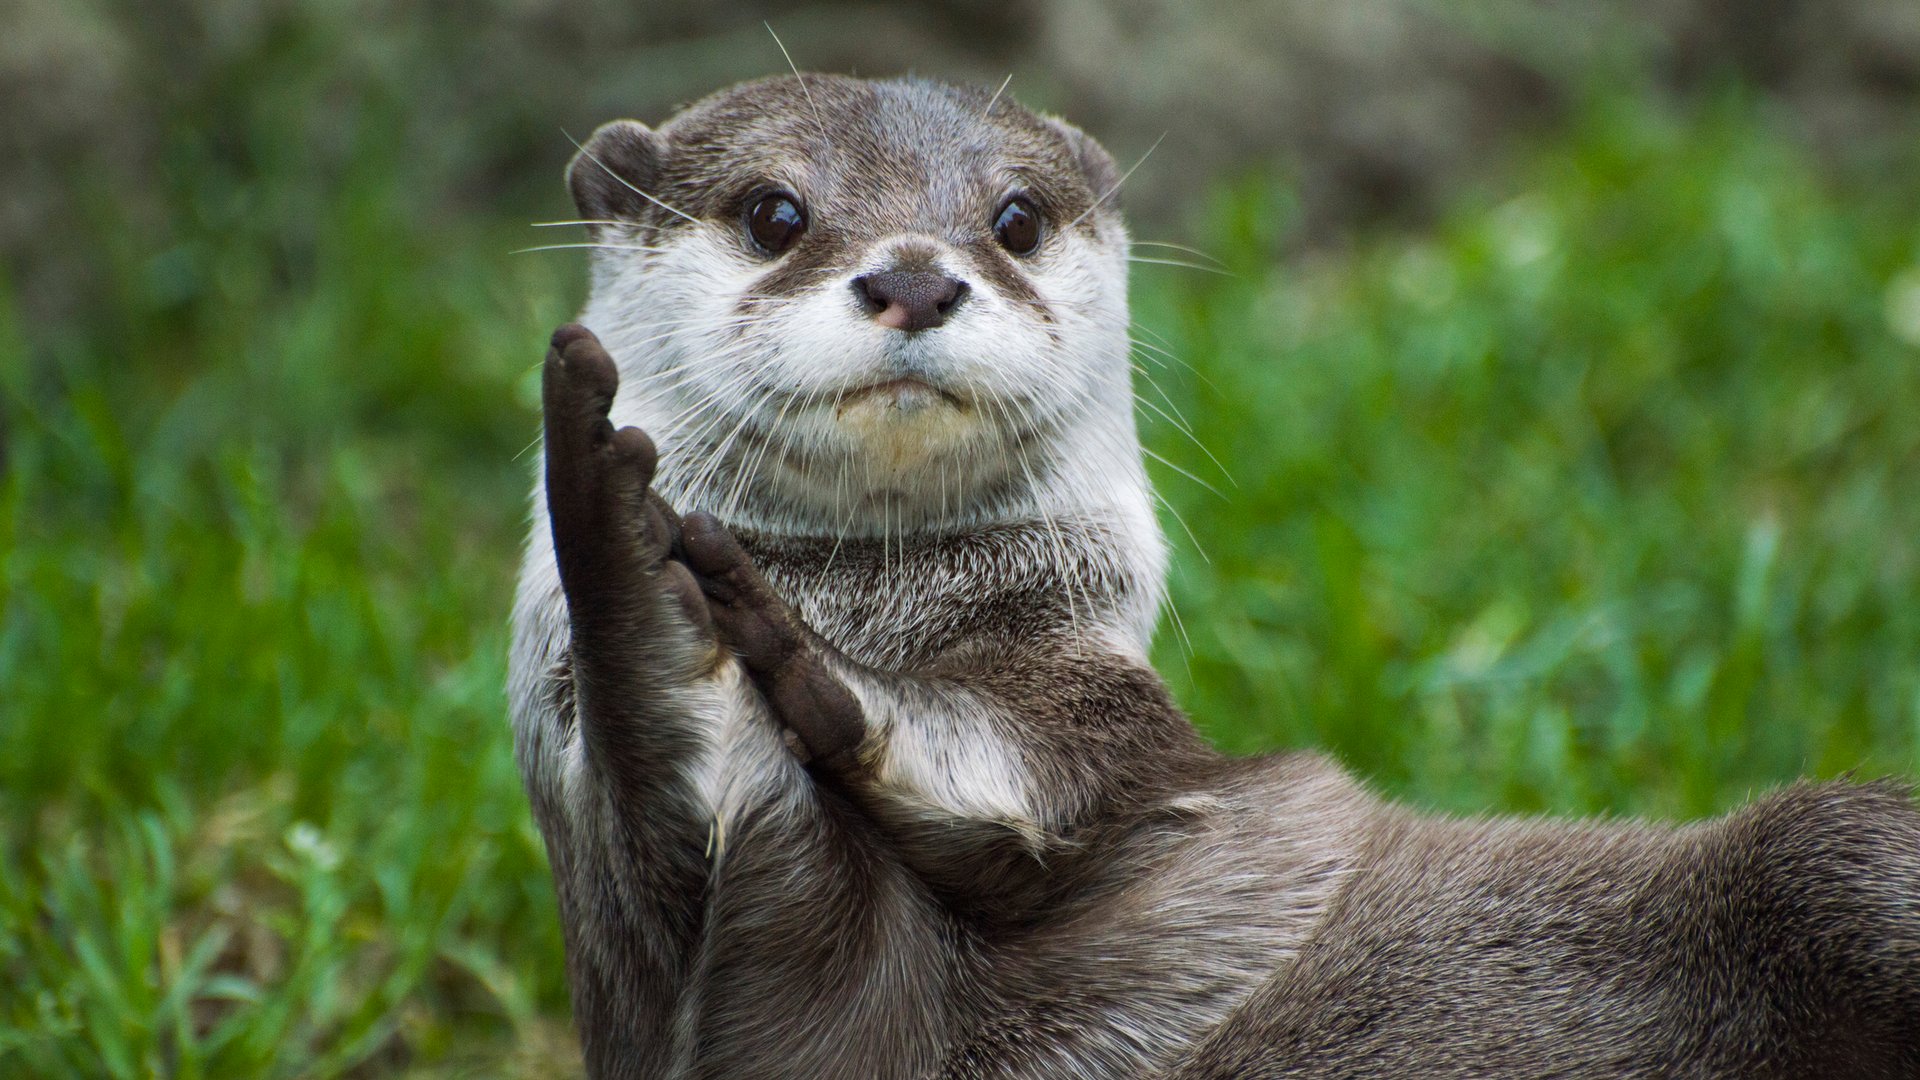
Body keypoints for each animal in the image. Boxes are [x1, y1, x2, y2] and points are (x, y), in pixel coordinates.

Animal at [507, 75, 1920, 1079]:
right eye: (774, 212)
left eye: (1014, 218)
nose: (913, 272)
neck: (891, 608)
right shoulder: (671, 924)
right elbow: (700, 823)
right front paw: (633, 548)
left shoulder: (1106, 727)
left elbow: (1024, 770)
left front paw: (782, 643)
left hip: (1833, 857)